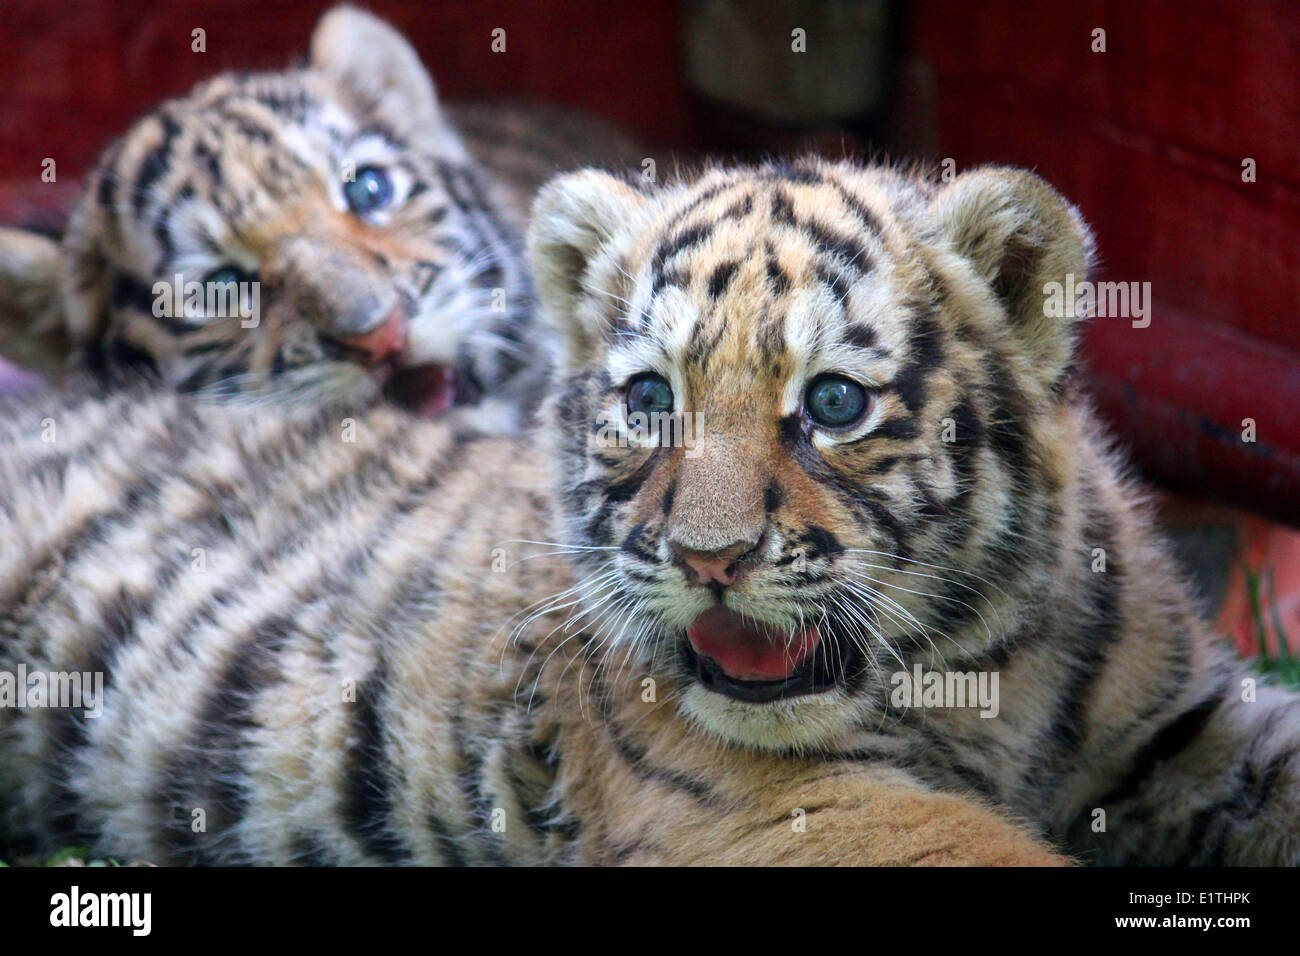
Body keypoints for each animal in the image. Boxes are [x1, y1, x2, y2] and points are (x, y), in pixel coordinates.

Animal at [2, 157, 1296, 866]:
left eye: (832, 401)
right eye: (648, 398)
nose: (706, 558)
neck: (986, 677)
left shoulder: (1182, 722)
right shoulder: (777, 806)